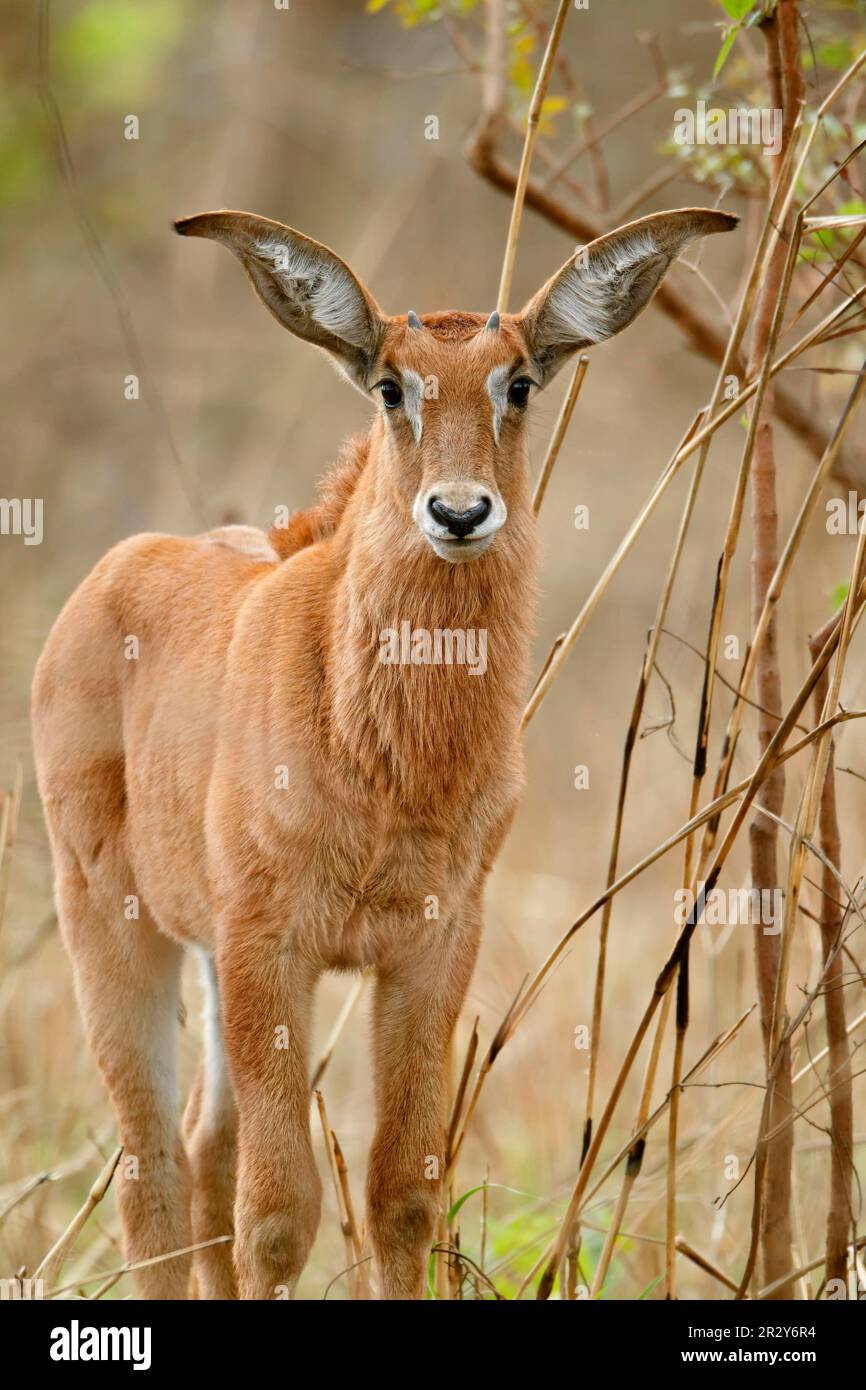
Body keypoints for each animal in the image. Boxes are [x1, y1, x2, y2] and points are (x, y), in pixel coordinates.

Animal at [32, 205, 735, 1300]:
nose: (458, 512)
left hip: (203, 957)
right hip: (112, 922)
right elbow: (281, 1213)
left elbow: (400, 1194)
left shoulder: (430, 946)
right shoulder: (271, 946)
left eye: (518, 381)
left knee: (203, 1149)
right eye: (391, 384)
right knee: (152, 1170)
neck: (385, 756)